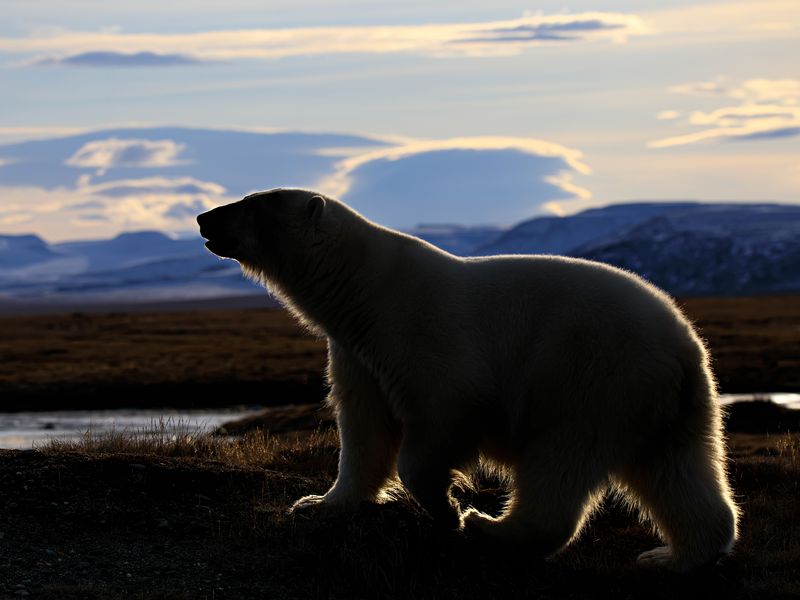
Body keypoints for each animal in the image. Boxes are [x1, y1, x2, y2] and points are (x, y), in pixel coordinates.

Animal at [197, 188, 739, 571]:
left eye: (250, 203)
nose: (204, 218)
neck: (364, 291)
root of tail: (684, 347)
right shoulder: (356, 353)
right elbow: (363, 430)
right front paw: (317, 503)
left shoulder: (422, 331)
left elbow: (439, 413)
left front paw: (450, 508)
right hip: (667, 404)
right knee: (678, 470)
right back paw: (673, 556)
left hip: (590, 378)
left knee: (560, 462)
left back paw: (491, 529)